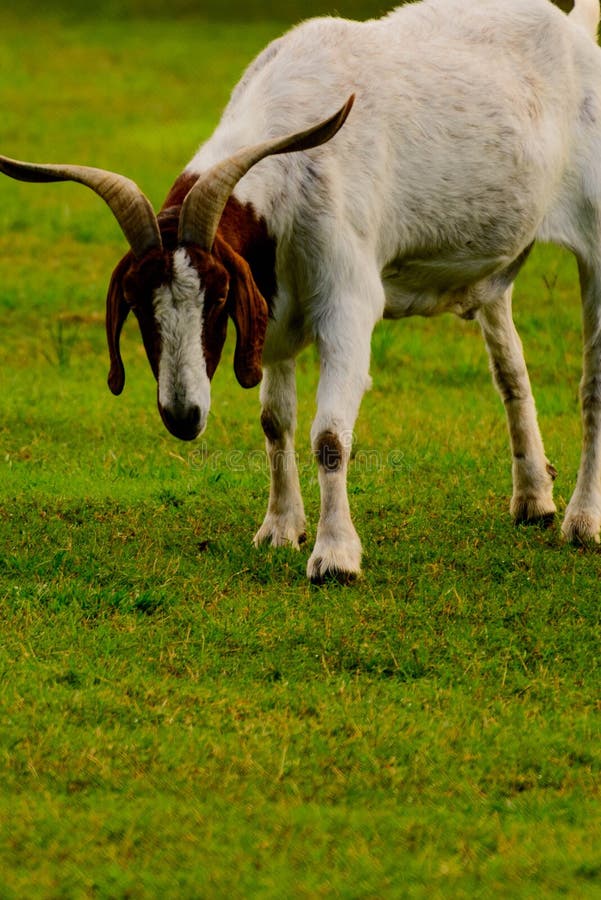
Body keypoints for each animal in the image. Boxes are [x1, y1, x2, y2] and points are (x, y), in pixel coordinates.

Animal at [2, 0, 601, 582]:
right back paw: (534, 498)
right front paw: (279, 529)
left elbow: (330, 436)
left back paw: (581, 522)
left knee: (591, 385)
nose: (183, 415)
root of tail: (573, 30)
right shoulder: (273, 311)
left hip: (595, 245)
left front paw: (334, 556)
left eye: (216, 298)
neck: (291, 166)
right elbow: (274, 422)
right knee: (511, 373)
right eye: (137, 304)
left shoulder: (347, 304)